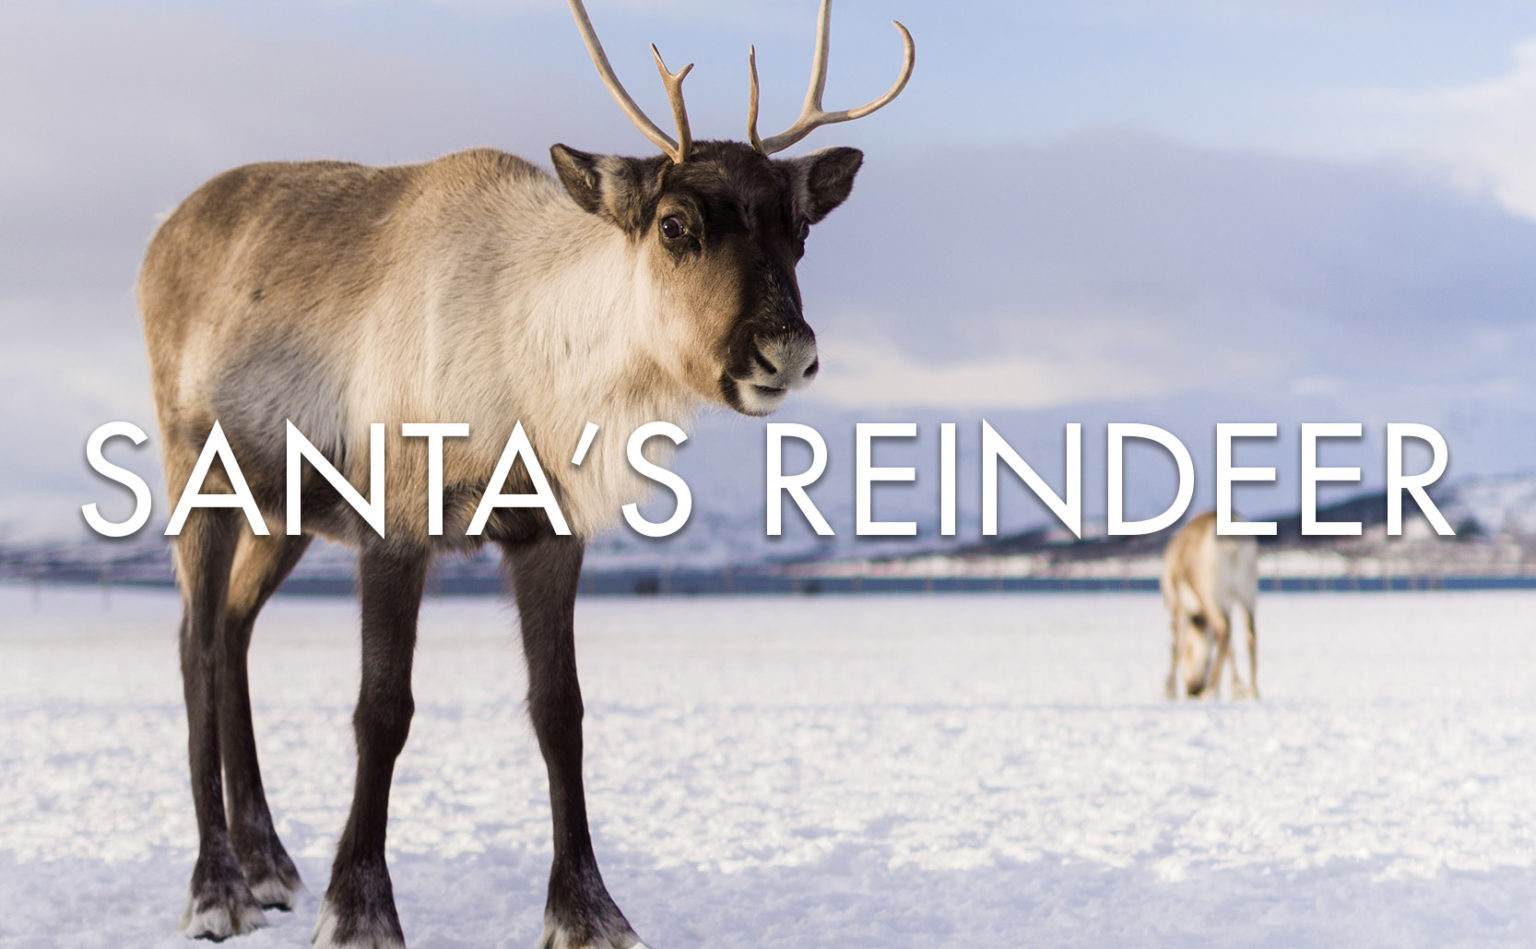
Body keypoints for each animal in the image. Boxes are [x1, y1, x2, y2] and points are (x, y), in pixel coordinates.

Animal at [136, 2, 913, 946]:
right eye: (675, 223)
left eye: (797, 229)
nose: (785, 348)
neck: (535, 373)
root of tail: (160, 233)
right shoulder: (397, 518)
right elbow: (382, 709)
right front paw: (359, 906)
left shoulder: (549, 533)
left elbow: (560, 711)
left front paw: (587, 908)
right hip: (195, 468)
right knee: (197, 642)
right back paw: (217, 885)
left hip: (282, 511)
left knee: (233, 630)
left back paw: (268, 861)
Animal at [1160, 511, 1259, 700]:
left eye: (1206, 662)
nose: (1193, 690)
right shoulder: (1228, 605)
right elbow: (1230, 648)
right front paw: (1236, 688)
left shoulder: (1177, 604)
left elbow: (1176, 646)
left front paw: (1169, 690)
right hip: (1248, 593)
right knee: (1250, 636)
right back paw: (1253, 691)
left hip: (1209, 593)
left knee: (1224, 630)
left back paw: (1211, 690)